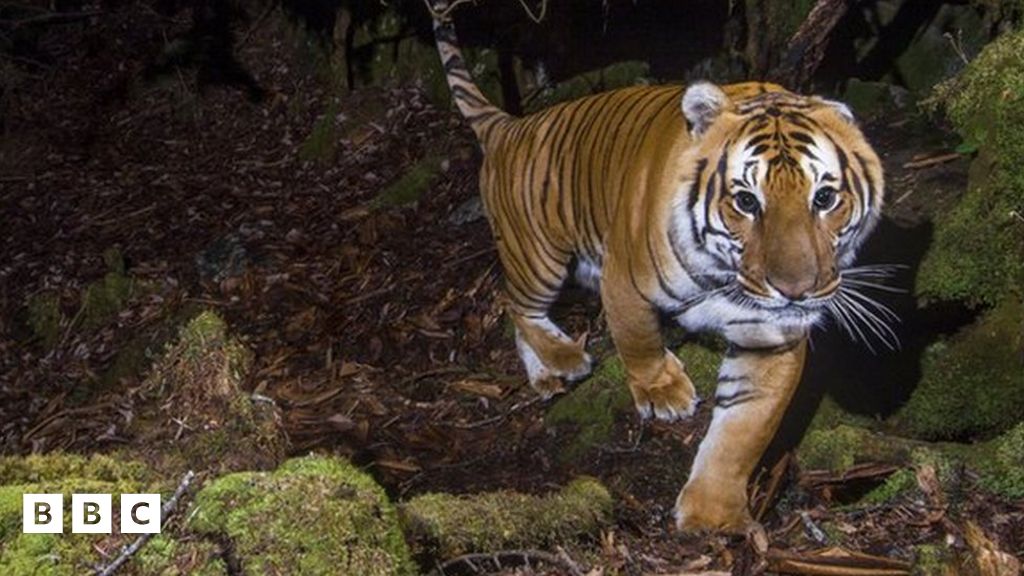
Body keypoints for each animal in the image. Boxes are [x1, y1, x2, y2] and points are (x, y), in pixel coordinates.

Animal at [429, 3, 884, 533]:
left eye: (825, 197)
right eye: (747, 201)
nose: (796, 291)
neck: (726, 277)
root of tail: (508, 126)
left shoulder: (772, 334)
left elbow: (745, 428)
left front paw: (712, 514)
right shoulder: (625, 281)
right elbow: (639, 341)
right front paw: (664, 392)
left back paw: (546, 376)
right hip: (540, 257)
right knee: (514, 303)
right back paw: (564, 358)